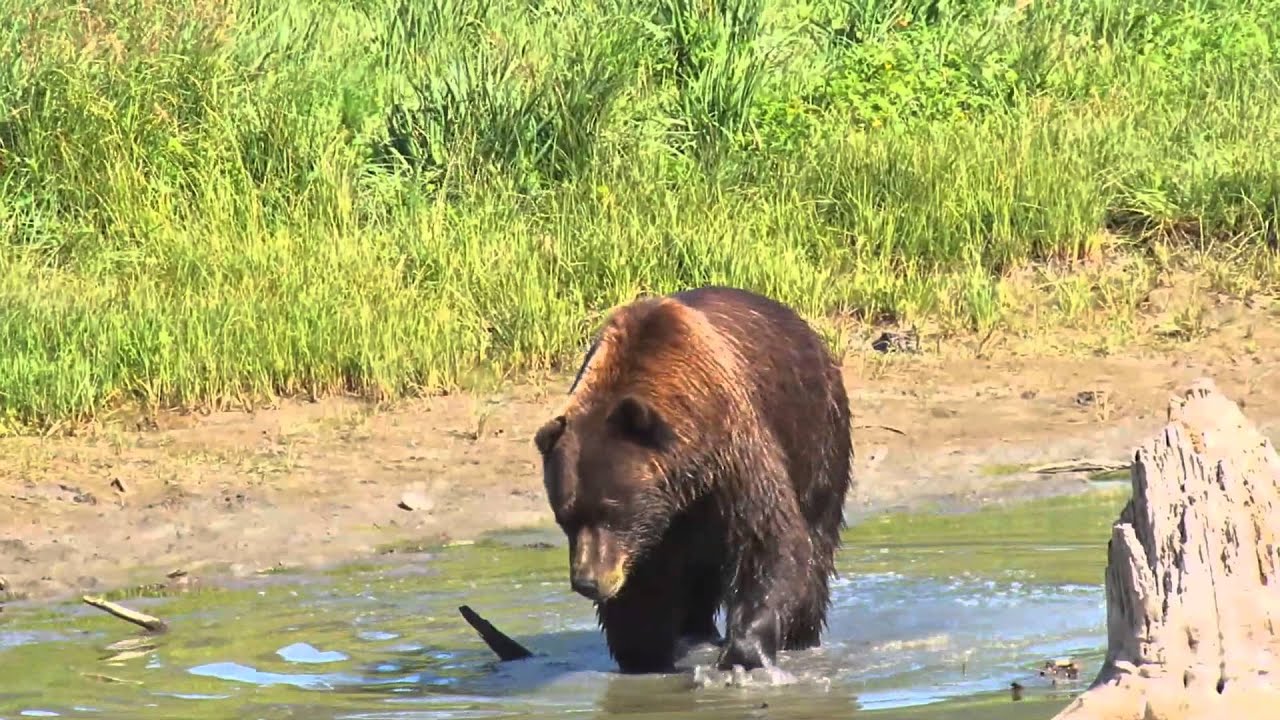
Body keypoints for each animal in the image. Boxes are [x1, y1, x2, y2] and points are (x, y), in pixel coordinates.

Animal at [532, 285, 854, 674]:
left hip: (818, 437)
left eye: (611, 510)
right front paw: (644, 652)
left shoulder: (733, 452)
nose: (588, 581)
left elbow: (769, 539)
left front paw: (743, 652)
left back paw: (800, 636)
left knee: (816, 544)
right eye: (564, 517)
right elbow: (643, 590)